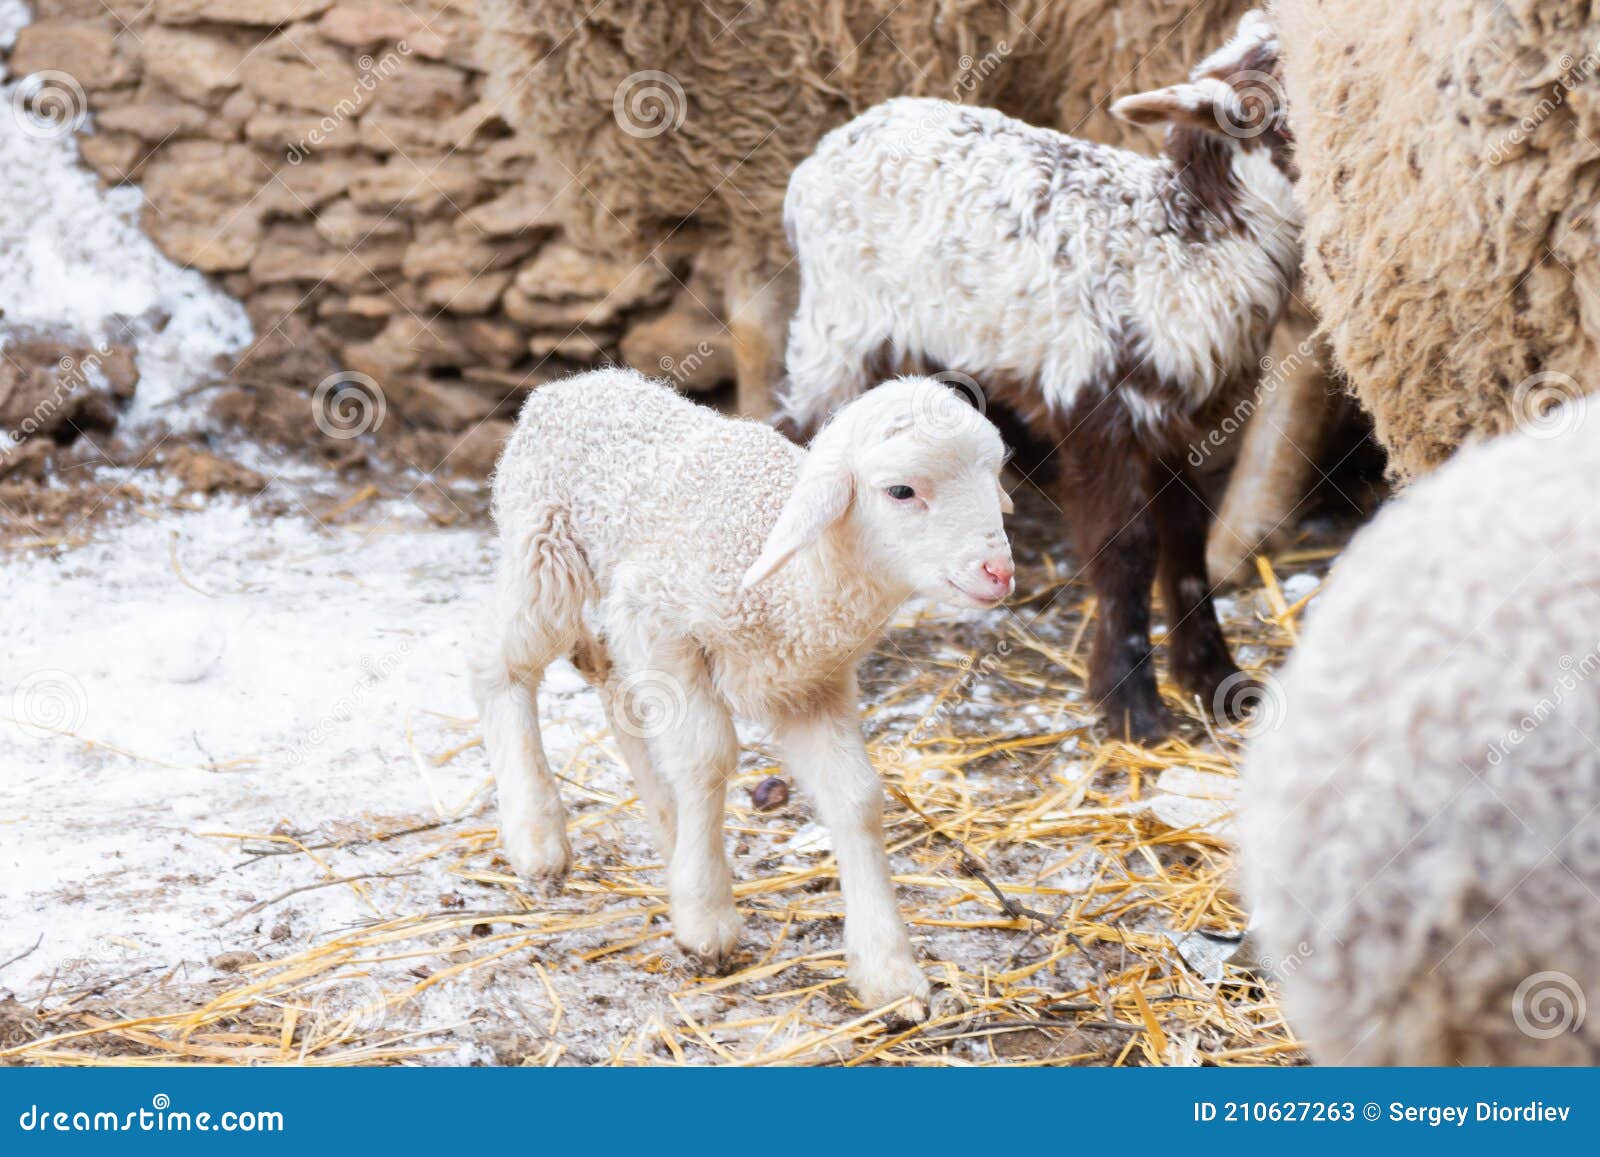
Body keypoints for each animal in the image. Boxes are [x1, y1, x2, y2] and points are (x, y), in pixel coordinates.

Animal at [476, 367, 1014, 1014]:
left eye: (995, 472)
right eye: (901, 491)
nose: (999, 572)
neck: (797, 579)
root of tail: (575, 383)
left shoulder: (814, 682)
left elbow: (857, 798)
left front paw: (888, 970)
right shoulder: (663, 622)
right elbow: (707, 757)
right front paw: (706, 919)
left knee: (610, 681)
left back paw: (669, 832)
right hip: (543, 549)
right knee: (500, 667)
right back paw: (538, 836)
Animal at [776, 11, 1300, 741]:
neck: (1180, 245)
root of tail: (825, 149)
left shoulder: (1169, 419)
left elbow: (1185, 539)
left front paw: (1214, 677)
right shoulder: (1097, 404)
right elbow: (1125, 548)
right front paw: (1132, 706)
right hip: (837, 326)